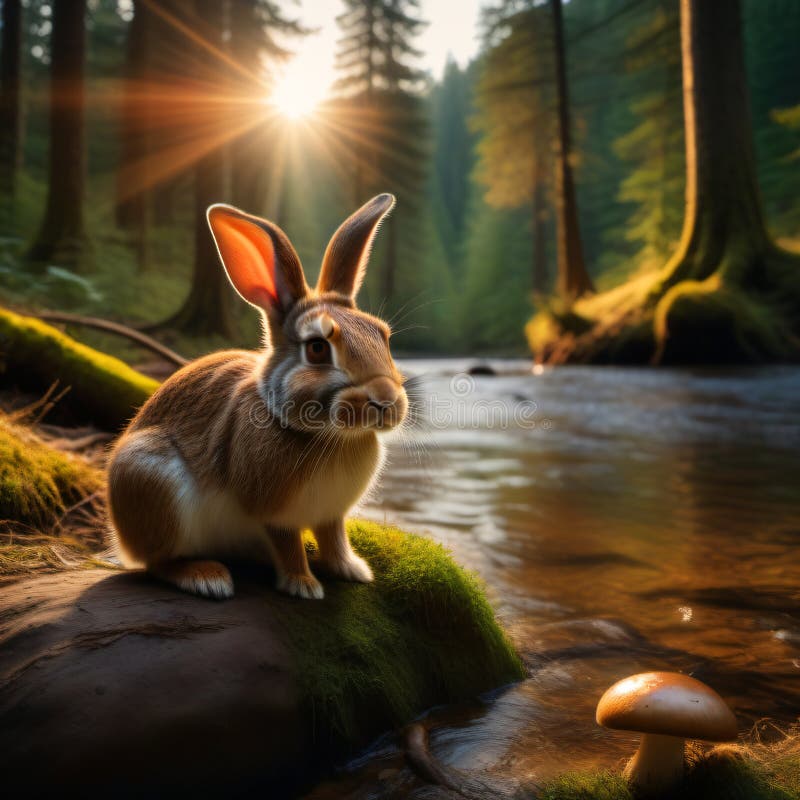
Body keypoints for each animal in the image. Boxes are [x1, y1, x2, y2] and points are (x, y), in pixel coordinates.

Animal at [107, 193, 408, 601]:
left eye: (383, 337)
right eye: (316, 349)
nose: (386, 401)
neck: (328, 436)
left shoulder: (331, 514)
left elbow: (334, 538)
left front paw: (352, 570)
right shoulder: (273, 513)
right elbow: (288, 543)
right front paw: (303, 586)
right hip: (152, 484)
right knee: (157, 563)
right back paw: (206, 577)